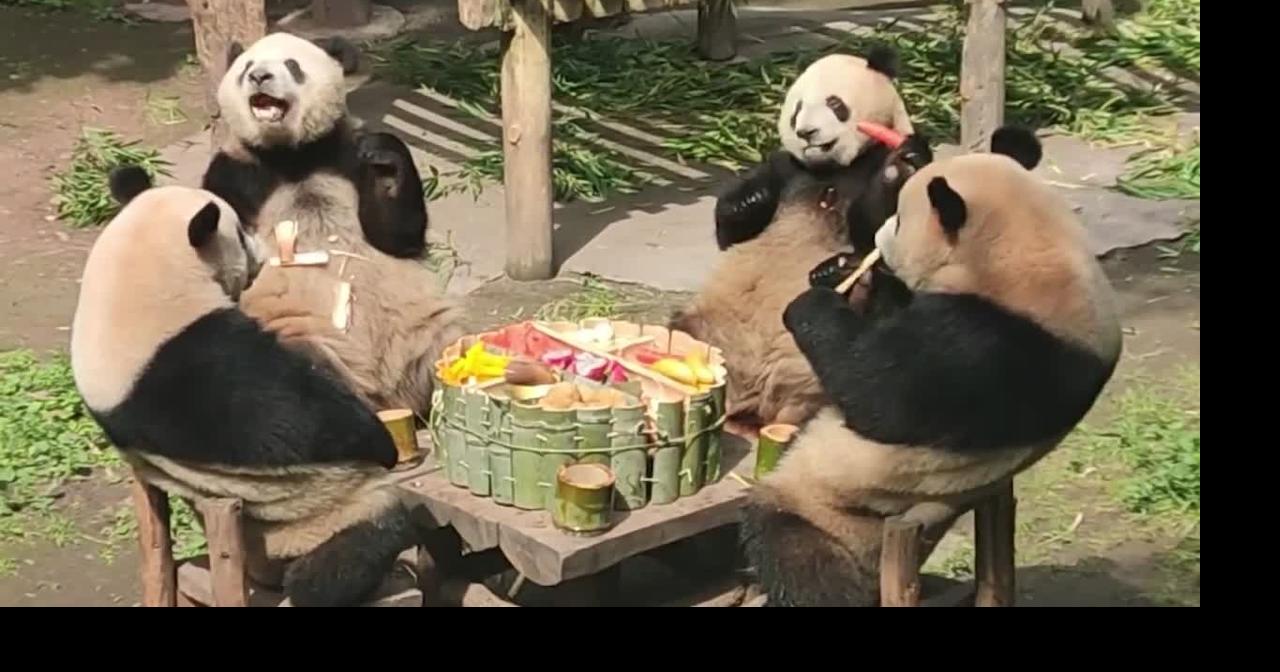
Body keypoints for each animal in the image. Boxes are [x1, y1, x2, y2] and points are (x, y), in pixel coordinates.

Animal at [71, 166, 417, 607]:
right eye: (238, 231)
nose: (263, 254)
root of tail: (264, 573)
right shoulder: (199, 365)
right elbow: (300, 420)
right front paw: (382, 442)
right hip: (324, 516)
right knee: (364, 542)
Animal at [201, 31, 463, 416]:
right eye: (246, 67)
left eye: (292, 65)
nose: (260, 76)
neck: (290, 155)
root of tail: (386, 394)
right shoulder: (232, 175)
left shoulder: (344, 155)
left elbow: (396, 234)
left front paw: (384, 163)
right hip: (299, 333)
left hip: (424, 328)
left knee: (456, 346)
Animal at [670, 47, 926, 428]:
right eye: (797, 109)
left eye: (835, 103)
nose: (807, 132)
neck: (834, 167)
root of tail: (758, 402)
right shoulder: (784, 167)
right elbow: (732, 232)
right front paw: (749, 199)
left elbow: (877, 229)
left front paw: (902, 166)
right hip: (710, 323)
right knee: (683, 333)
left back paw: (836, 274)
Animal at [742, 126, 1123, 607]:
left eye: (901, 220)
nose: (878, 236)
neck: (1026, 254)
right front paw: (842, 269)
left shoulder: (991, 346)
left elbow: (880, 394)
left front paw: (814, 304)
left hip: (835, 511)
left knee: (799, 555)